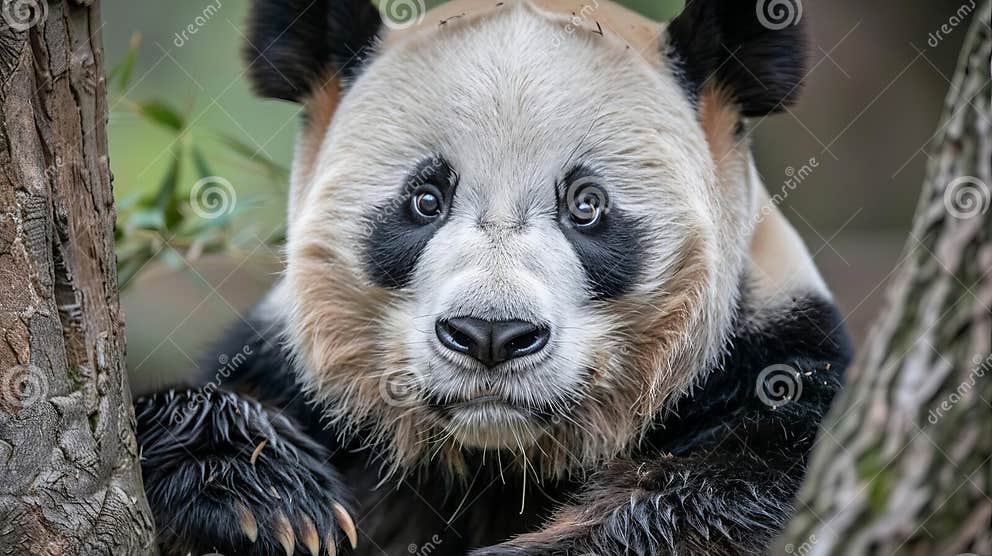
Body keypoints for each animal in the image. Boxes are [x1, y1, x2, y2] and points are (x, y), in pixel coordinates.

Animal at [135, 0, 852, 555]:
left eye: (586, 205)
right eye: (425, 199)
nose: (489, 334)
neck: (498, 458)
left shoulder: (780, 379)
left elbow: (717, 504)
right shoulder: (301, 382)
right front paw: (265, 499)